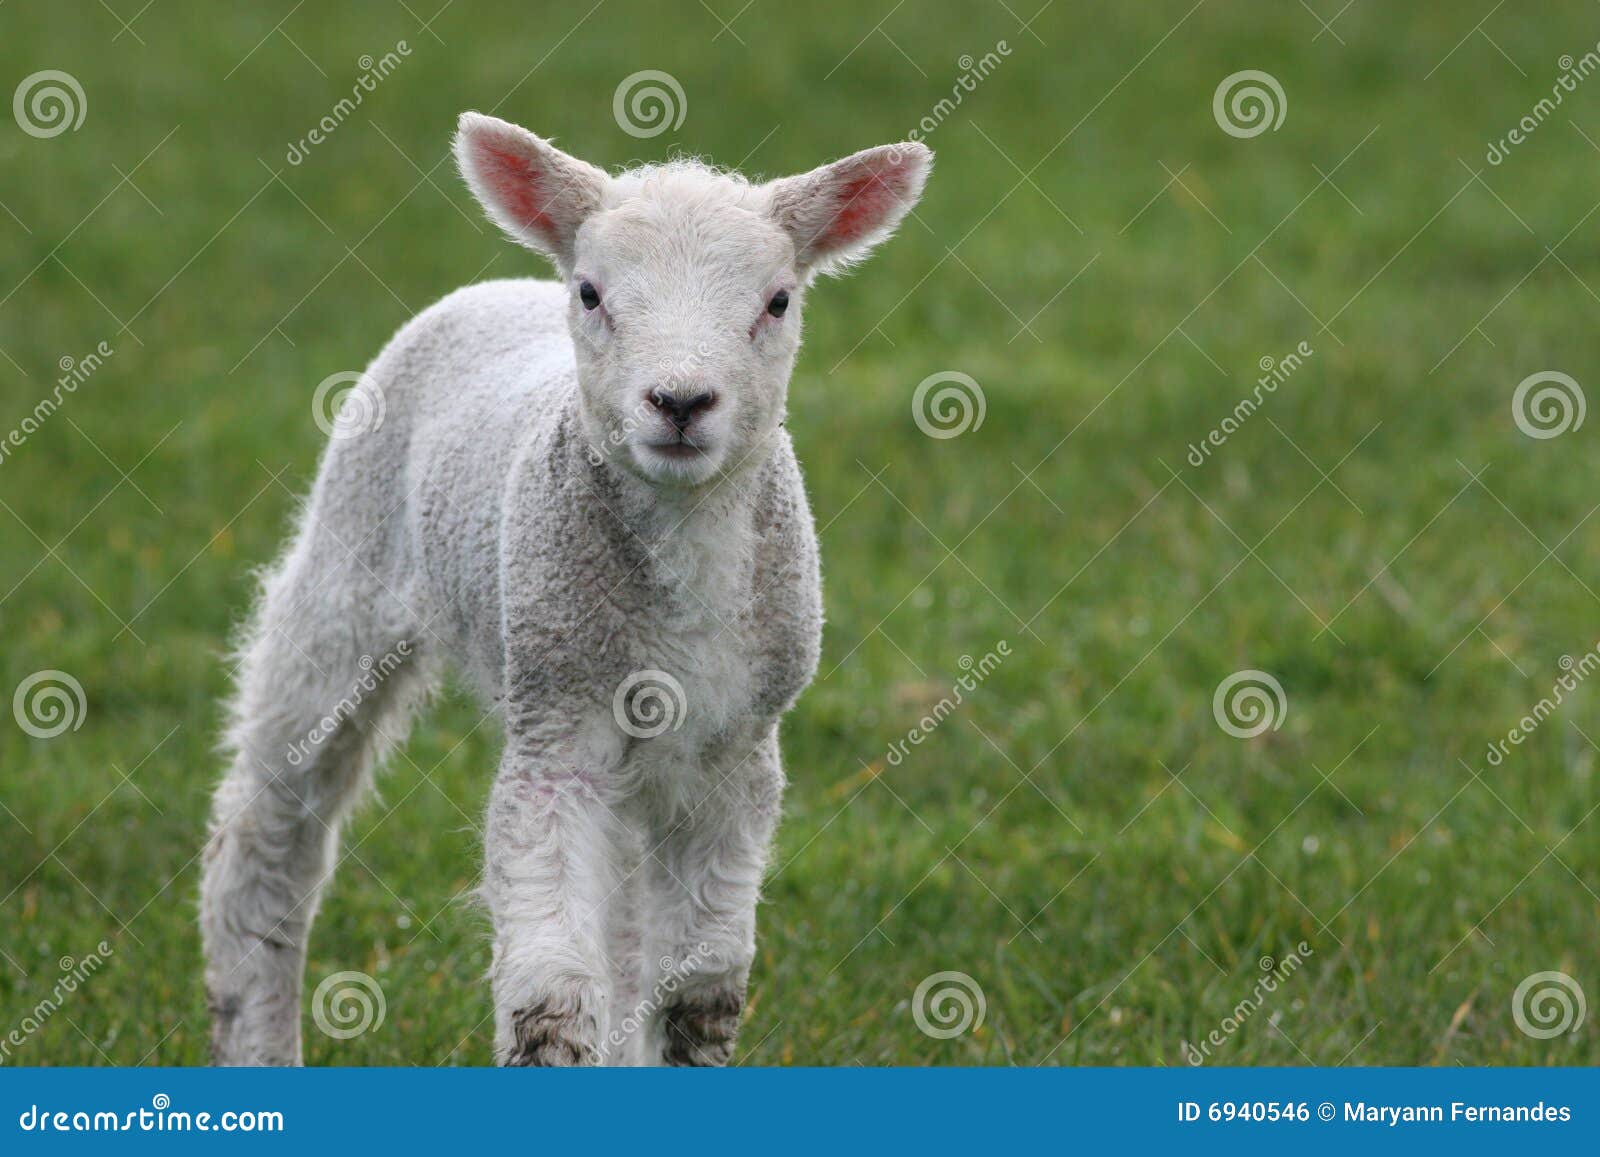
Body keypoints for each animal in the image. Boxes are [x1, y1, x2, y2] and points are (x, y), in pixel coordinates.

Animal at [198, 111, 932, 1066]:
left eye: (777, 302)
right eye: (591, 294)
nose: (680, 401)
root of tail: (502, 287)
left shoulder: (739, 745)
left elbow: (698, 995)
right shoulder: (556, 727)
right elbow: (550, 1003)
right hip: (344, 573)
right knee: (266, 836)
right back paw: (255, 1028)